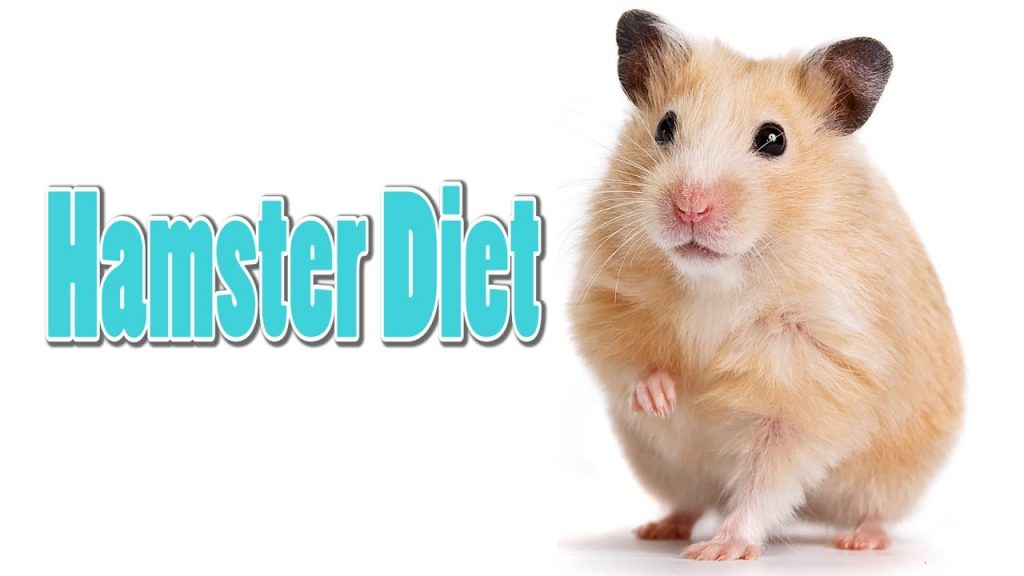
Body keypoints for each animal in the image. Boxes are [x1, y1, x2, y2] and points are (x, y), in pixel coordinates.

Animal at [570, 10, 963, 561]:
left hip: (892, 474)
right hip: (666, 466)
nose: (690, 206)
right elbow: (628, 359)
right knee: (690, 500)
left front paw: (720, 551)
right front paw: (663, 399)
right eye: (665, 126)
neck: (718, 278)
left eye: (774, 139)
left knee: (871, 507)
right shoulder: (607, 295)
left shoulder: (811, 379)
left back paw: (860, 541)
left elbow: (767, 477)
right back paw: (658, 529)